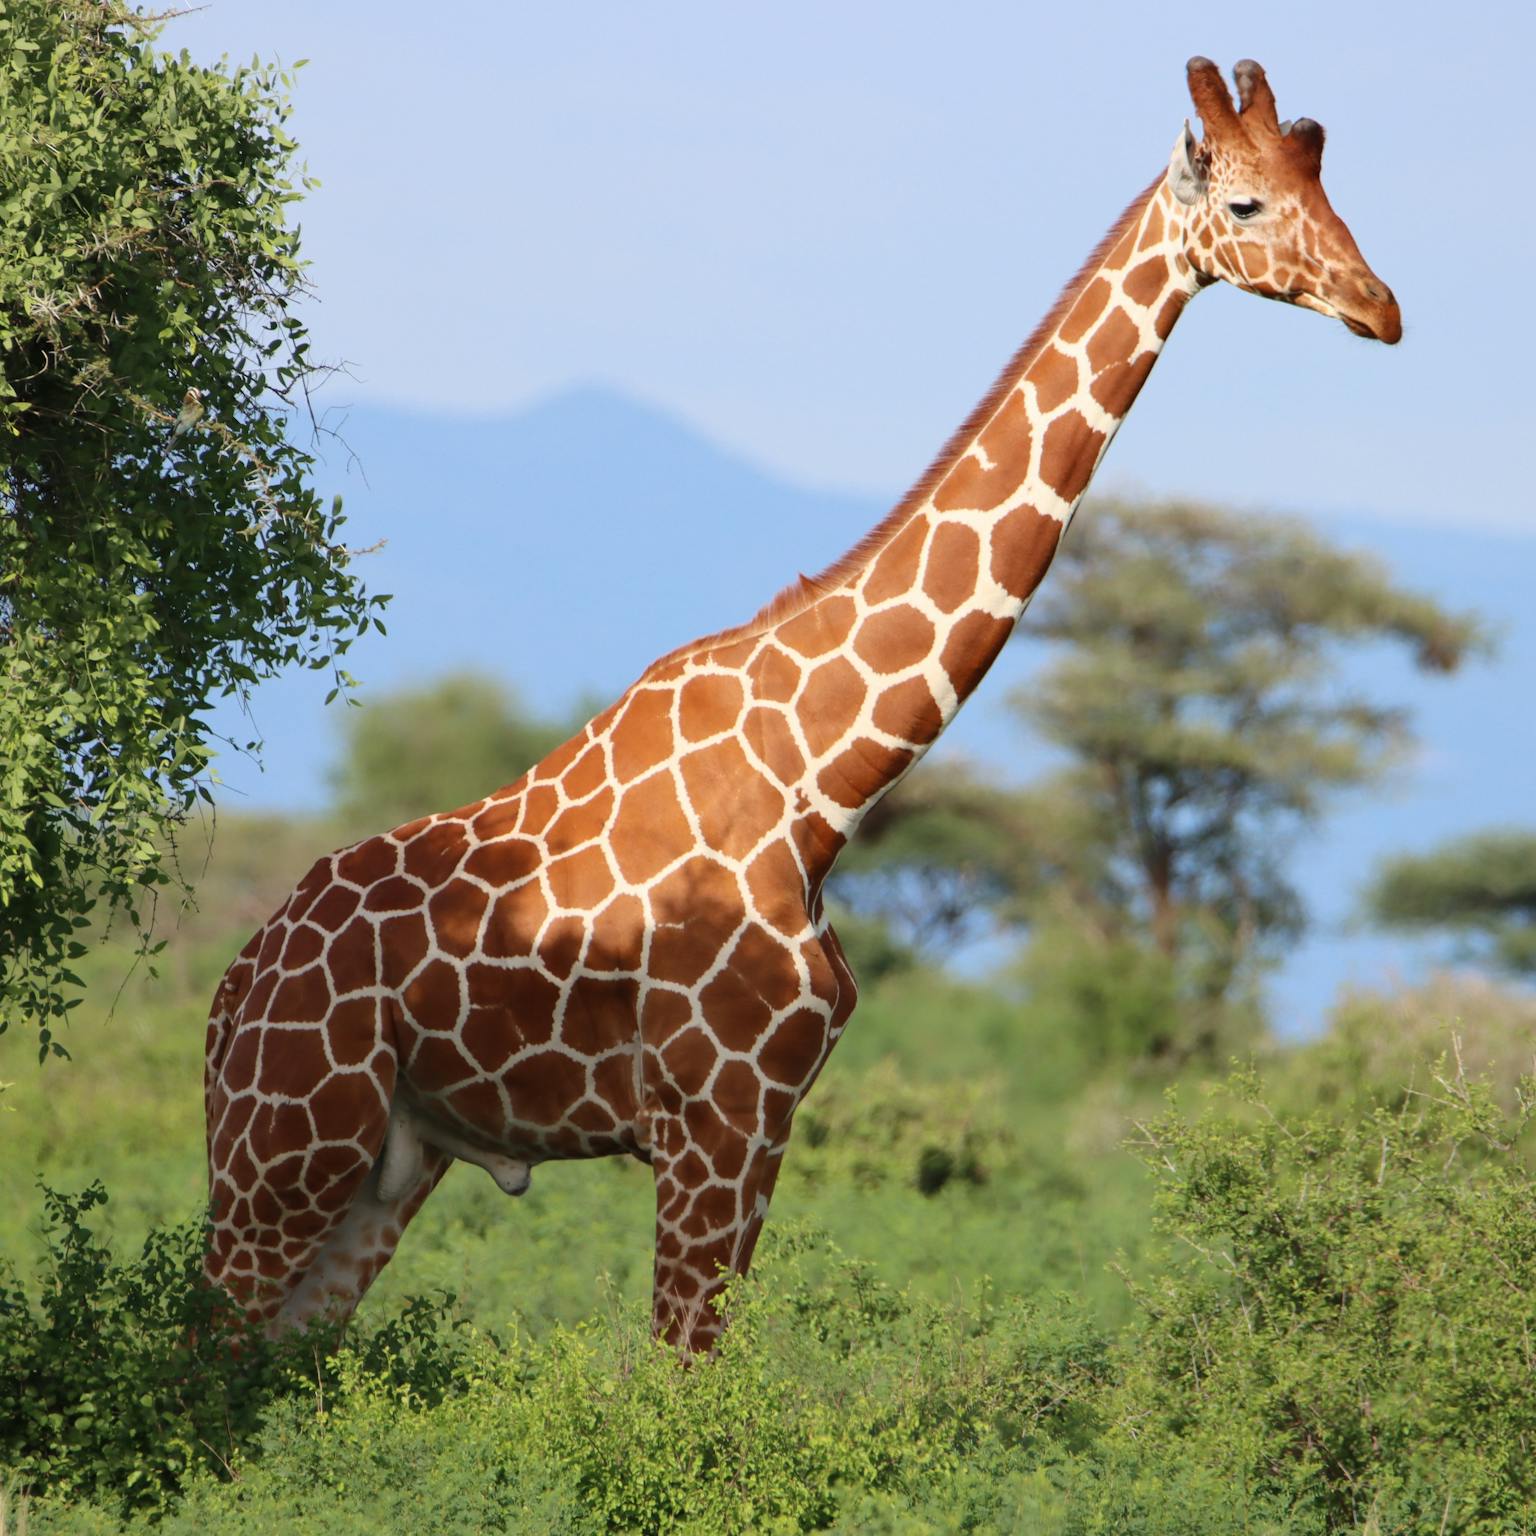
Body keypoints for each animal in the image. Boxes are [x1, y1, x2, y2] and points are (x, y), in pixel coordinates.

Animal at [204, 58, 1400, 1354]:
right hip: (286, 1145)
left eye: (1327, 190)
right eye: (1244, 204)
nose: (1382, 308)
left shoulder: (764, 1123)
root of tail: (231, 990)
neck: (820, 781)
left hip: (387, 1162)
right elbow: (678, 1380)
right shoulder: (716, 1113)